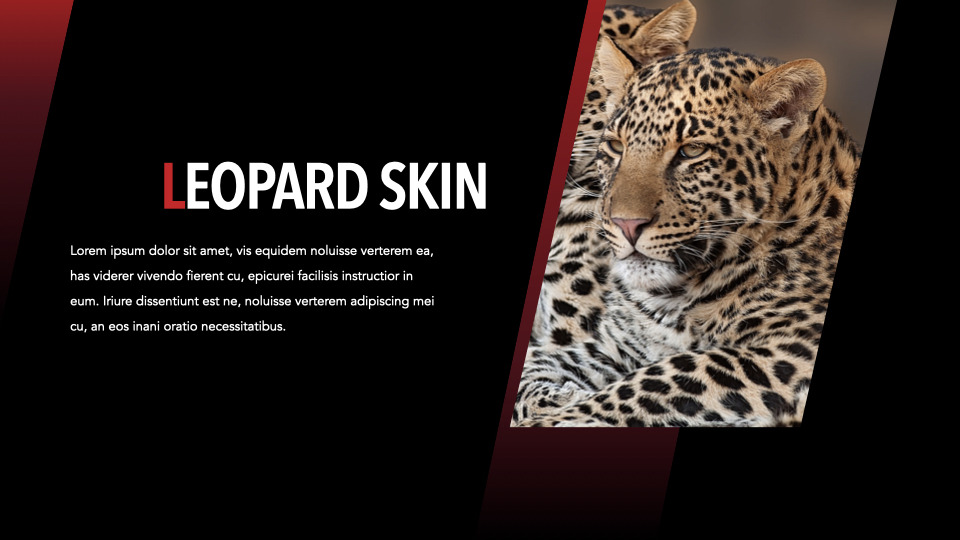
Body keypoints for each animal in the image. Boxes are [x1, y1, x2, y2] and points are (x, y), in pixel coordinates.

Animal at [515, 40, 860, 427]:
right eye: (617, 146)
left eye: (692, 151)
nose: (625, 224)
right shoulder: (618, 343)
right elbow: (538, 365)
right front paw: (554, 398)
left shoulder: (790, 348)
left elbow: (654, 380)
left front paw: (554, 420)